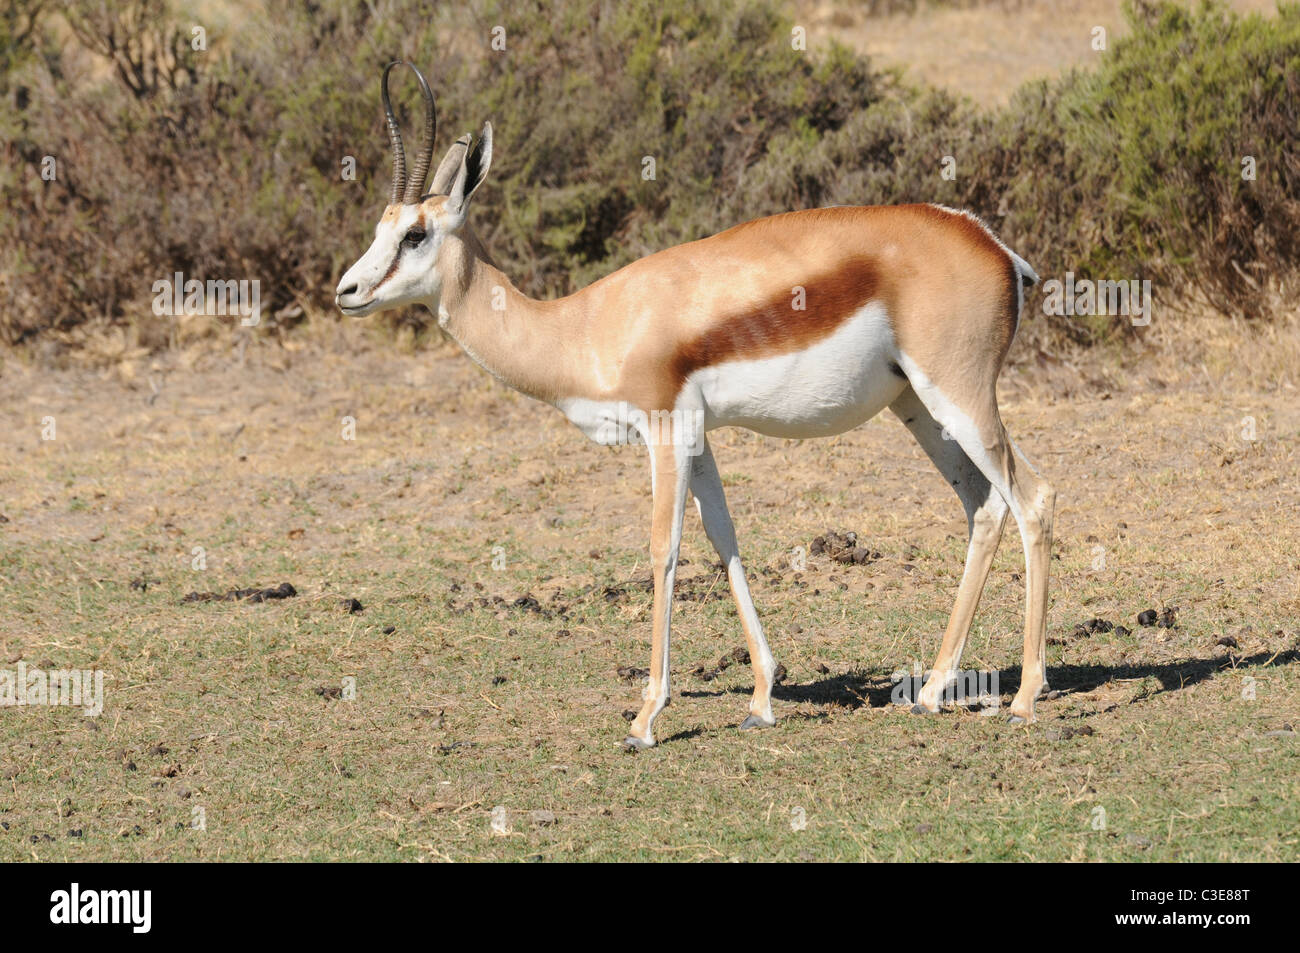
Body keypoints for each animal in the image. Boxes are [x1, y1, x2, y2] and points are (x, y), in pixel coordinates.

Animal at [336, 63, 1056, 749]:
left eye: (416, 234)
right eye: (378, 226)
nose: (347, 290)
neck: (585, 325)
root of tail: (991, 244)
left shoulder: (663, 428)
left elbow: (664, 547)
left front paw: (645, 718)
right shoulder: (698, 435)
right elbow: (724, 537)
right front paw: (761, 700)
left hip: (959, 395)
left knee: (1034, 497)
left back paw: (1024, 699)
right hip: (918, 407)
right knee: (983, 506)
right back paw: (932, 689)